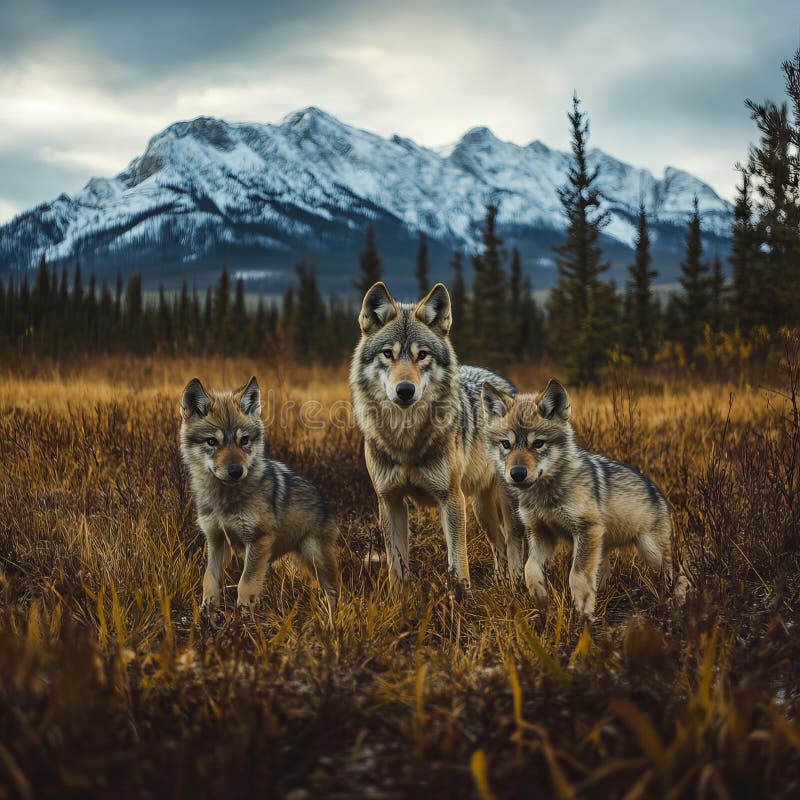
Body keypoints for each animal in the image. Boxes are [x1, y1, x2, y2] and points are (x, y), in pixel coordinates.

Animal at [179, 376, 339, 613]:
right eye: (212, 441)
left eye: (244, 440)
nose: (236, 471)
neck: (224, 499)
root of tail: (323, 499)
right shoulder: (216, 540)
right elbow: (209, 579)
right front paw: (207, 611)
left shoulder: (258, 539)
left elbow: (245, 583)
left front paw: (245, 615)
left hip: (314, 555)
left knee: (333, 589)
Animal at [349, 281, 523, 596]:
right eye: (388, 354)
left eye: (422, 355)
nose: (405, 390)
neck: (406, 439)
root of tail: (503, 383)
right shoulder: (389, 500)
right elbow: (396, 566)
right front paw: (398, 601)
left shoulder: (450, 498)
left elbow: (459, 562)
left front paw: (462, 599)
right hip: (480, 509)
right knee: (499, 544)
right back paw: (502, 584)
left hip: (506, 503)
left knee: (515, 542)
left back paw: (517, 589)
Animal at [482, 378, 686, 618]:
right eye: (506, 444)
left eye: (538, 443)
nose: (517, 474)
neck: (545, 495)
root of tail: (657, 490)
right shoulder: (541, 533)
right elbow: (529, 568)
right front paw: (540, 598)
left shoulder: (586, 530)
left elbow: (576, 576)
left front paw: (583, 613)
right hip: (603, 550)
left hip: (651, 552)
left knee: (680, 572)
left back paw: (680, 600)